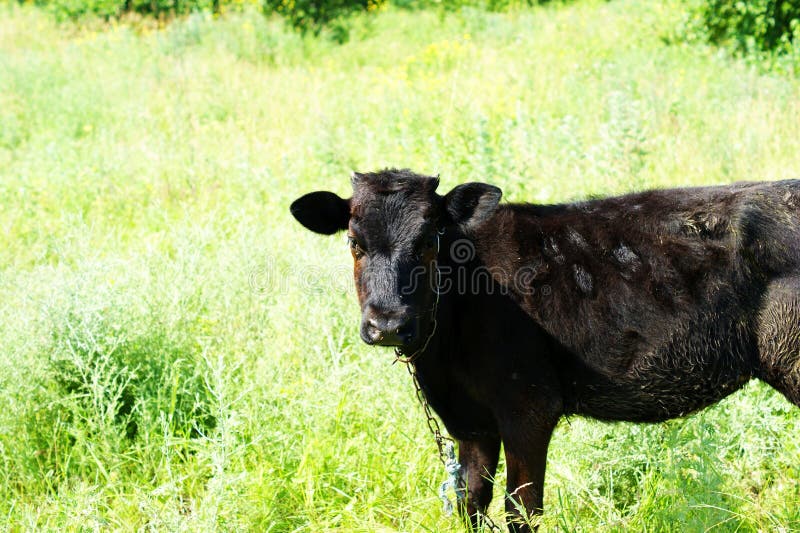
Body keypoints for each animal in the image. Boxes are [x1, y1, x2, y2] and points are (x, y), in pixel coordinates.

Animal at [290, 168, 800, 532]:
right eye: (354, 242)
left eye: (430, 240)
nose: (389, 324)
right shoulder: (470, 420)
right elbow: (471, 503)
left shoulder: (529, 405)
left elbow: (521, 511)